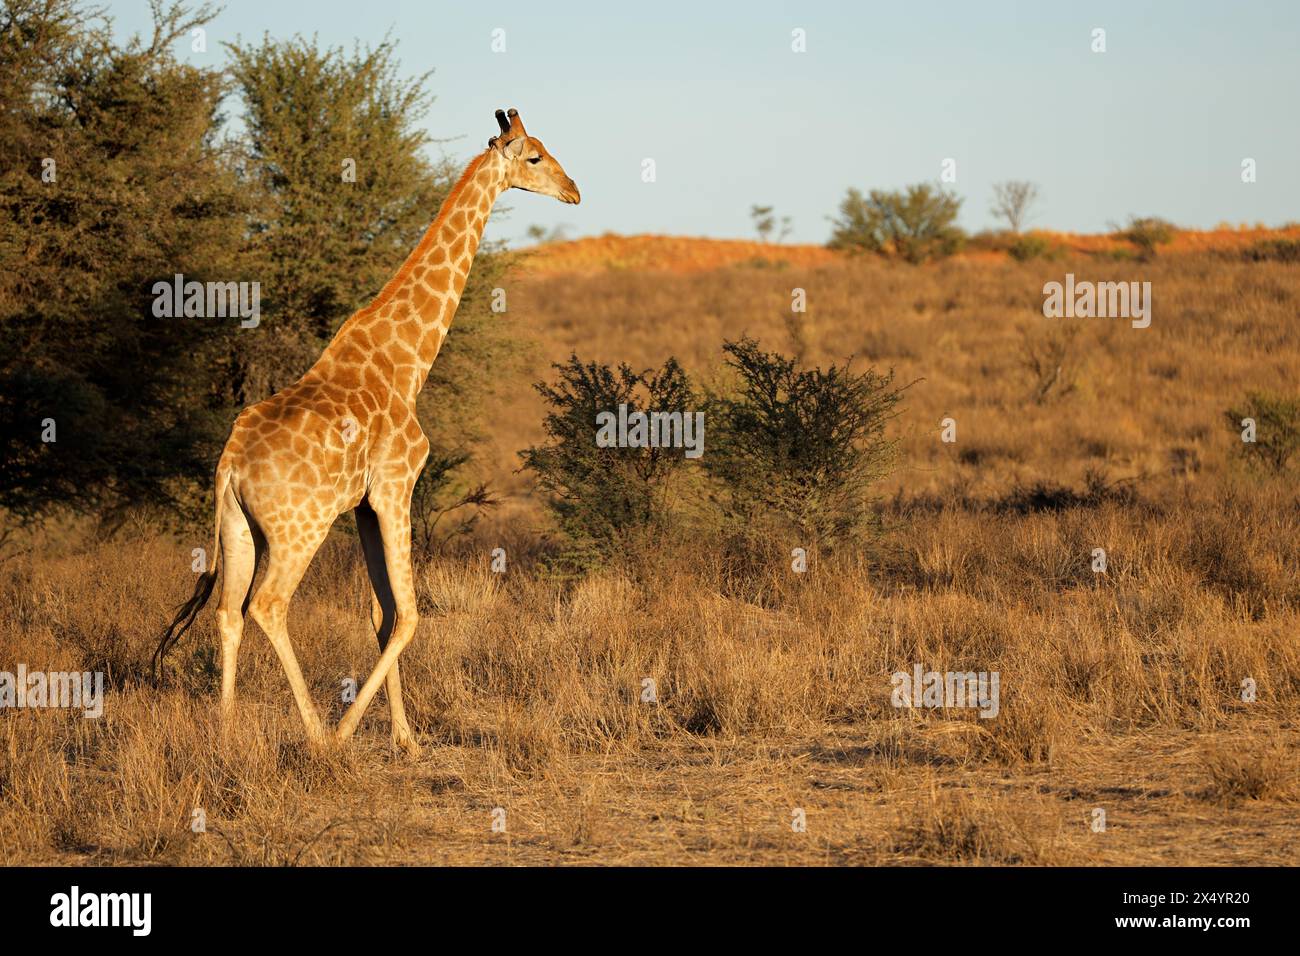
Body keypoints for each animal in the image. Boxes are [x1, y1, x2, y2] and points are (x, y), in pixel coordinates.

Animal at [154, 108, 579, 754]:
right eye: (534, 157)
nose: (575, 190)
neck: (408, 361)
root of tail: (230, 465)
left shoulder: (362, 506)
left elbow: (382, 615)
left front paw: (405, 738)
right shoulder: (396, 486)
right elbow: (408, 615)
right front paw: (356, 731)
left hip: (237, 527)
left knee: (227, 611)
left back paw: (225, 733)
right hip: (298, 530)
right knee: (267, 605)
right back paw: (318, 736)